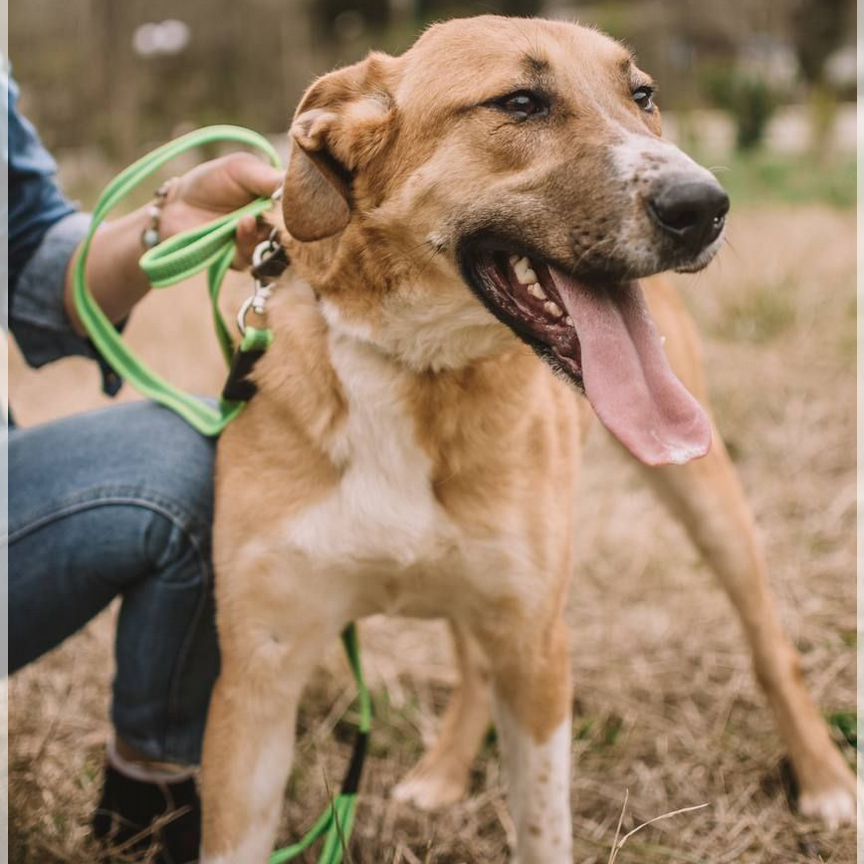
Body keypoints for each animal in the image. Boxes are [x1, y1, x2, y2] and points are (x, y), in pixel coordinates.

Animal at [197, 16, 856, 860]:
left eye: (642, 95)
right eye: (519, 102)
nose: (705, 205)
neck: (417, 367)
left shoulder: (538, 649)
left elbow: (543, 824)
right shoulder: (260, 675)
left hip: (710, 504)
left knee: (772, 648)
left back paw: (826, 778)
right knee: (473, 664)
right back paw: (445, 770)